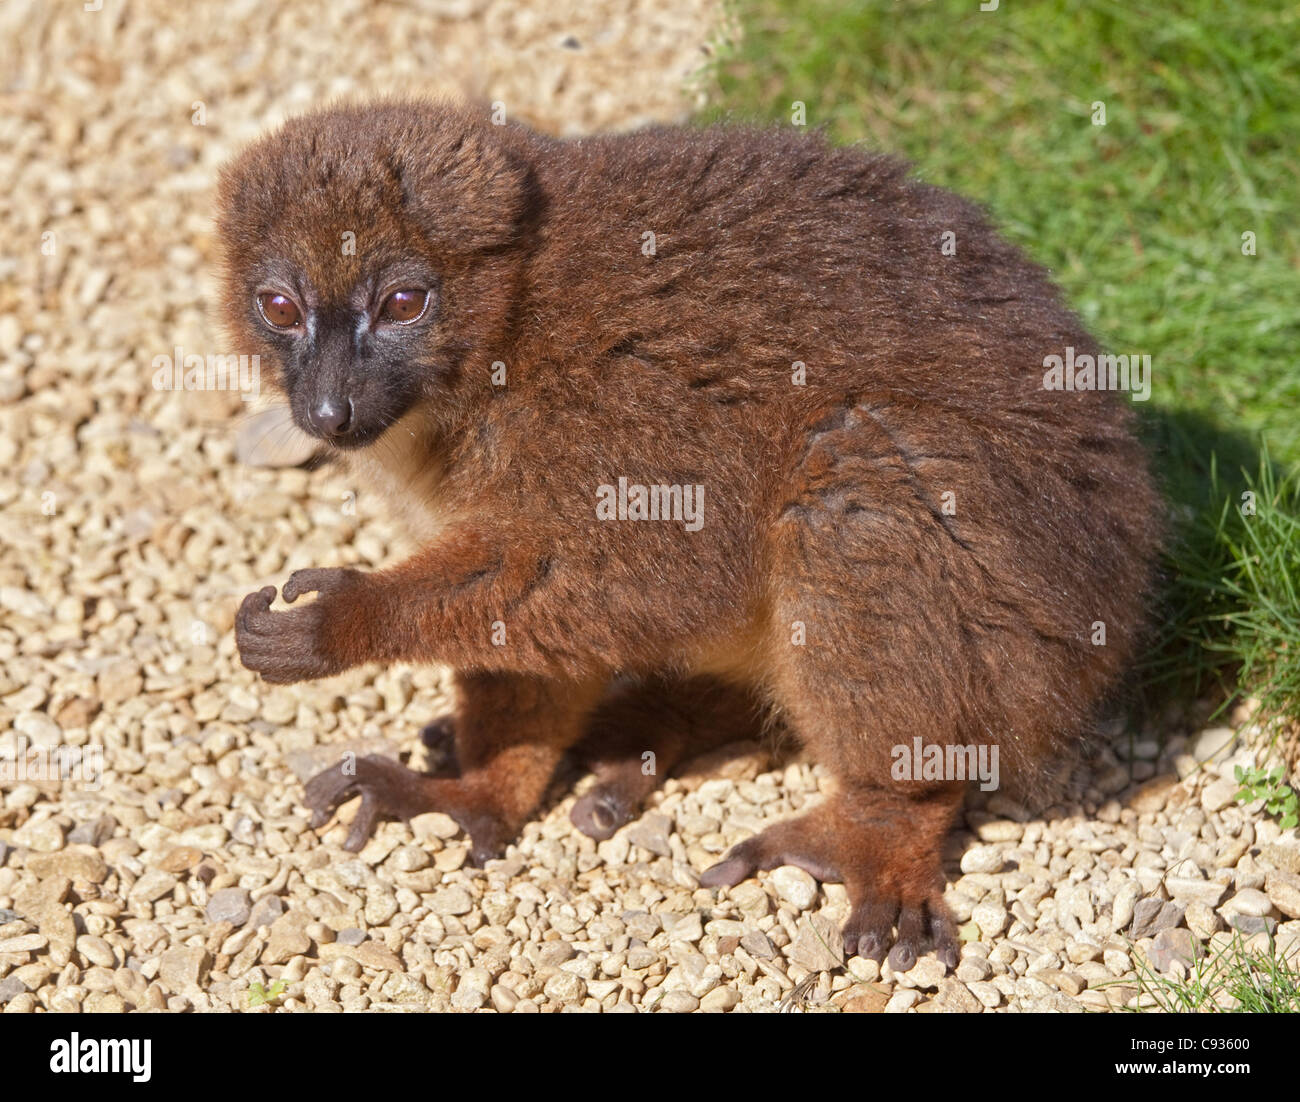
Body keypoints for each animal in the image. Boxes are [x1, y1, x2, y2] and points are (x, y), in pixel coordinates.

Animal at [218, 99, 1162, 972]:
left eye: (403, 304)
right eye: (280, 308)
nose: (328, 410)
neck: (502, 332)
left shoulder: (616, 398)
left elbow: (648, 573)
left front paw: (345, 622)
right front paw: (486, 792)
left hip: (1029, 645)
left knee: (853, 476)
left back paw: (885, 818)